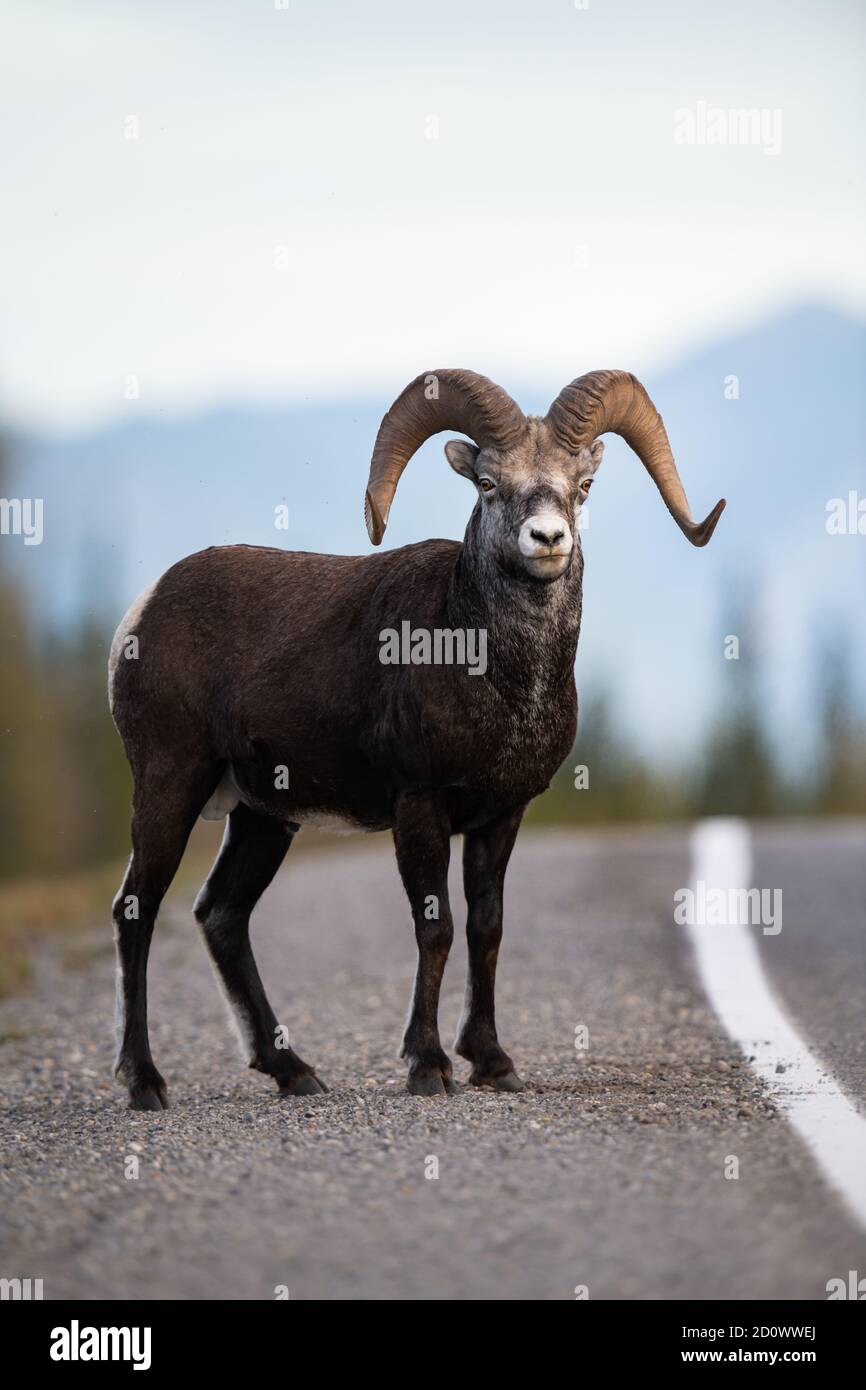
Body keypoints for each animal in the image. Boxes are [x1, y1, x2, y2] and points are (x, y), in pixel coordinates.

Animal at [108, 368, 724, 1108]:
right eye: (489, 483)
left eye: (583, 485)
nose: (547, 538)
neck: (494, 669)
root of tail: (143, 610)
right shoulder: (419, 808)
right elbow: (436, 928)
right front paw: (428, 1067)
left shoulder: (501, 817)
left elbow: (487, 929)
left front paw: (493, 1063)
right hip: (169, 787)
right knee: (137, 911)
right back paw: (146, 1083)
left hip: (263, 818)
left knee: (222, 916)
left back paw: (296, 1073)